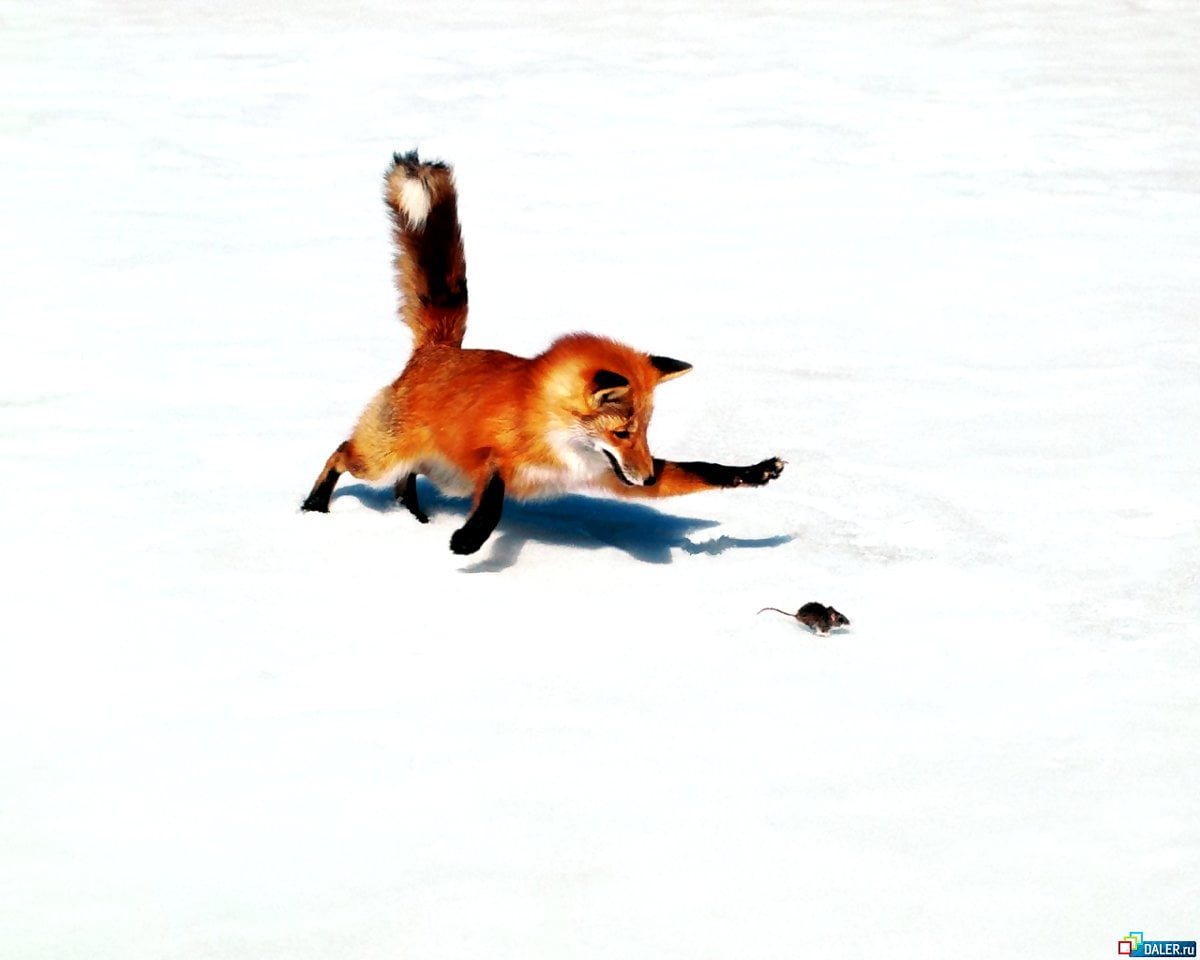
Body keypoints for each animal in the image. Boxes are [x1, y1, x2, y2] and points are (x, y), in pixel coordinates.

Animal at [301, 150, 785, 555]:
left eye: (645, 431)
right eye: (622, 432)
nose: (648, 475)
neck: (555, 435)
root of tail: (437, 349)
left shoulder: (608, 474)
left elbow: (703, 469)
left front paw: (755, 472)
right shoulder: (493, 457)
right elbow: (494, 499)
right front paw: (470, 539)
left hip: (436, 471)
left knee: (403, 482)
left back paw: (415, 517)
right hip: (382, 459)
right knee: (341, 453)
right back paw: (314, 505)